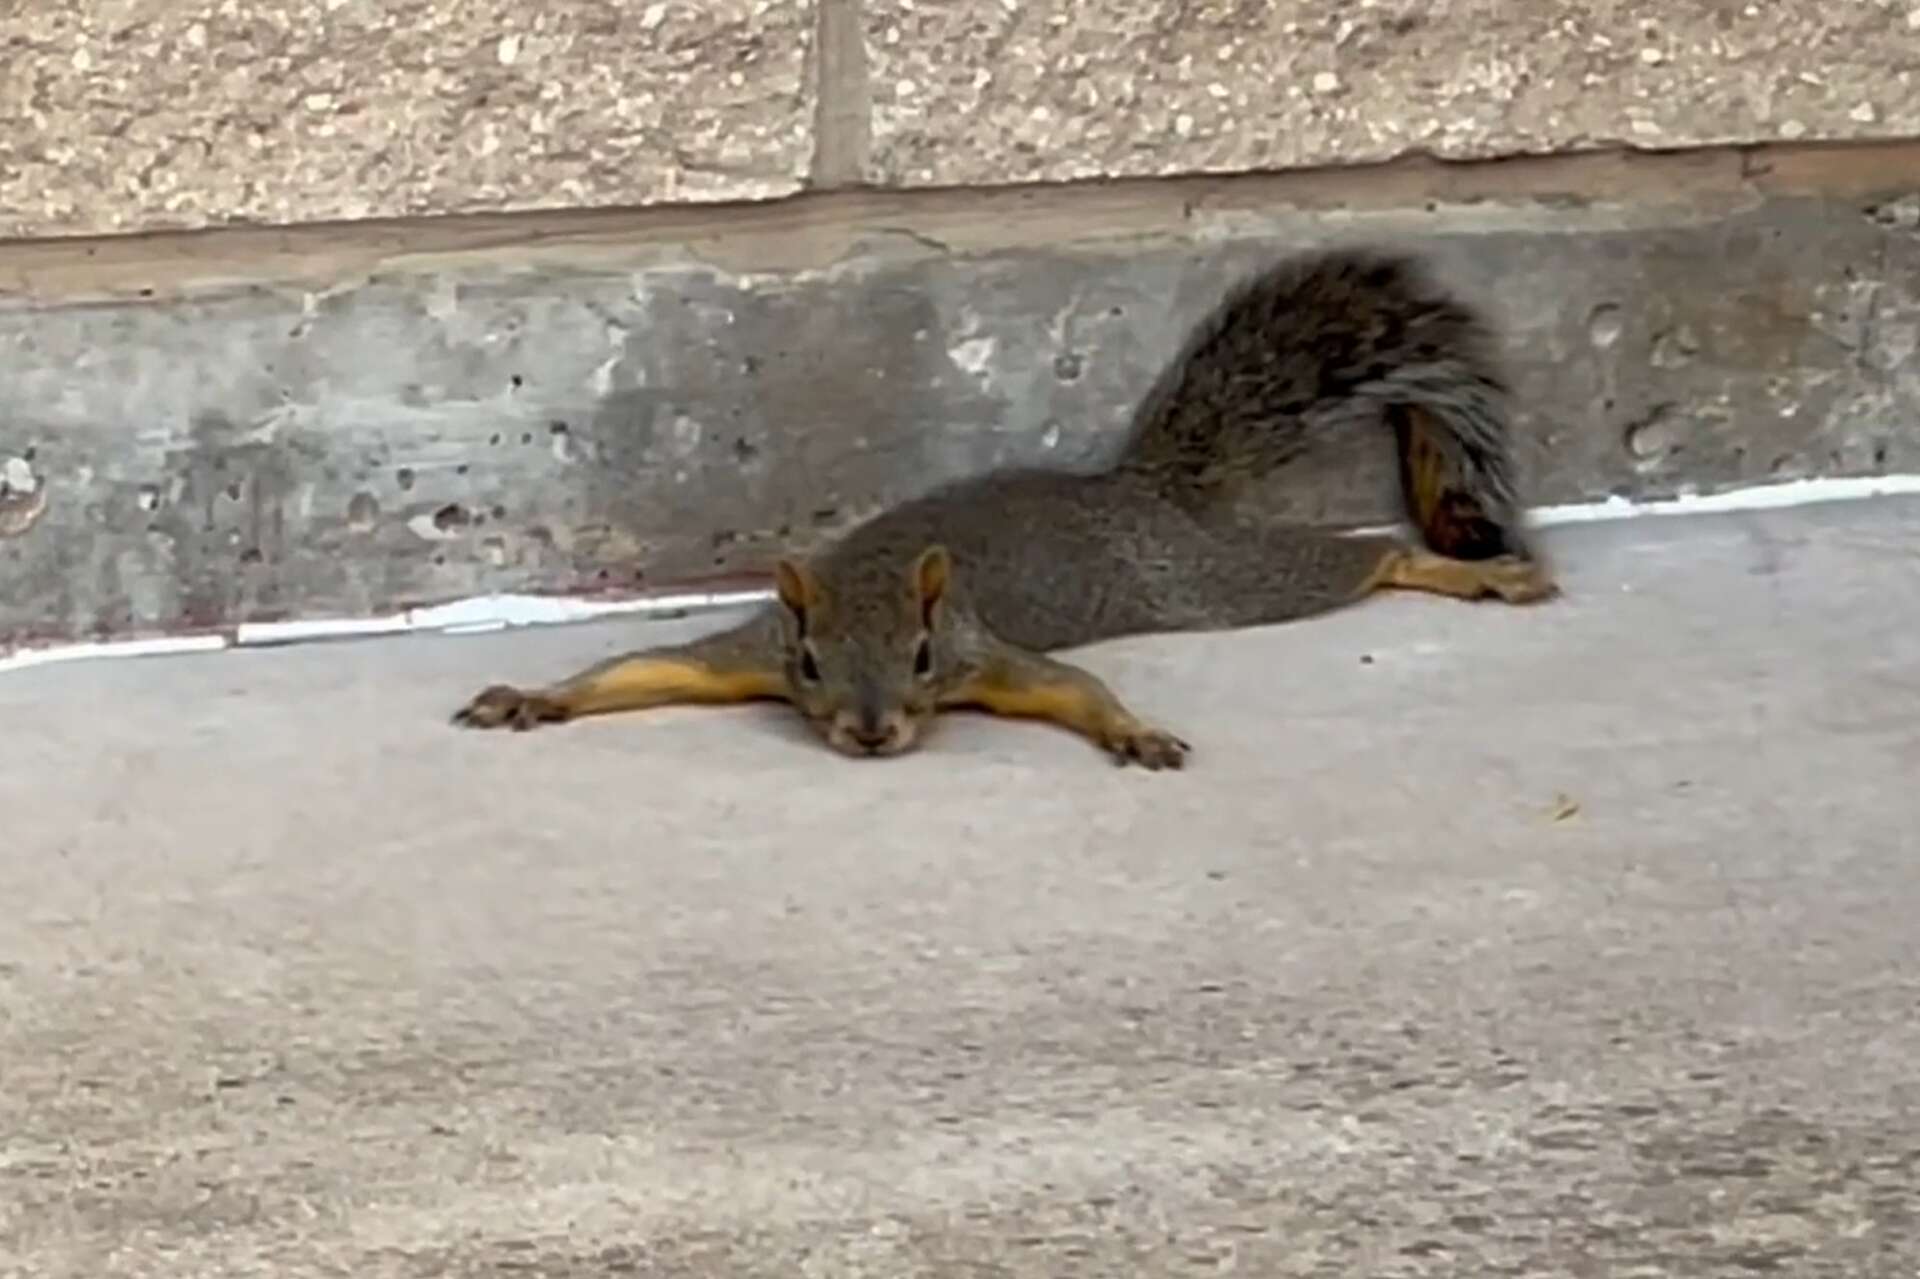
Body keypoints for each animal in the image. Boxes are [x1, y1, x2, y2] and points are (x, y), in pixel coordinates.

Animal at [453, 247, 1557, 769]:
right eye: (809, 662)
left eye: (923, 656)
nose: (871, 735)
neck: (872, 576)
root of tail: (1134, 485)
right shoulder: (747, 653)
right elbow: (642, 668)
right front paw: (535, 696)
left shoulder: (989, 654)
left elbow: (1074, 689)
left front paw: (1134, 733)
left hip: (1206, 577)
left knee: (1356, 558)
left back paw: (1471, 571)